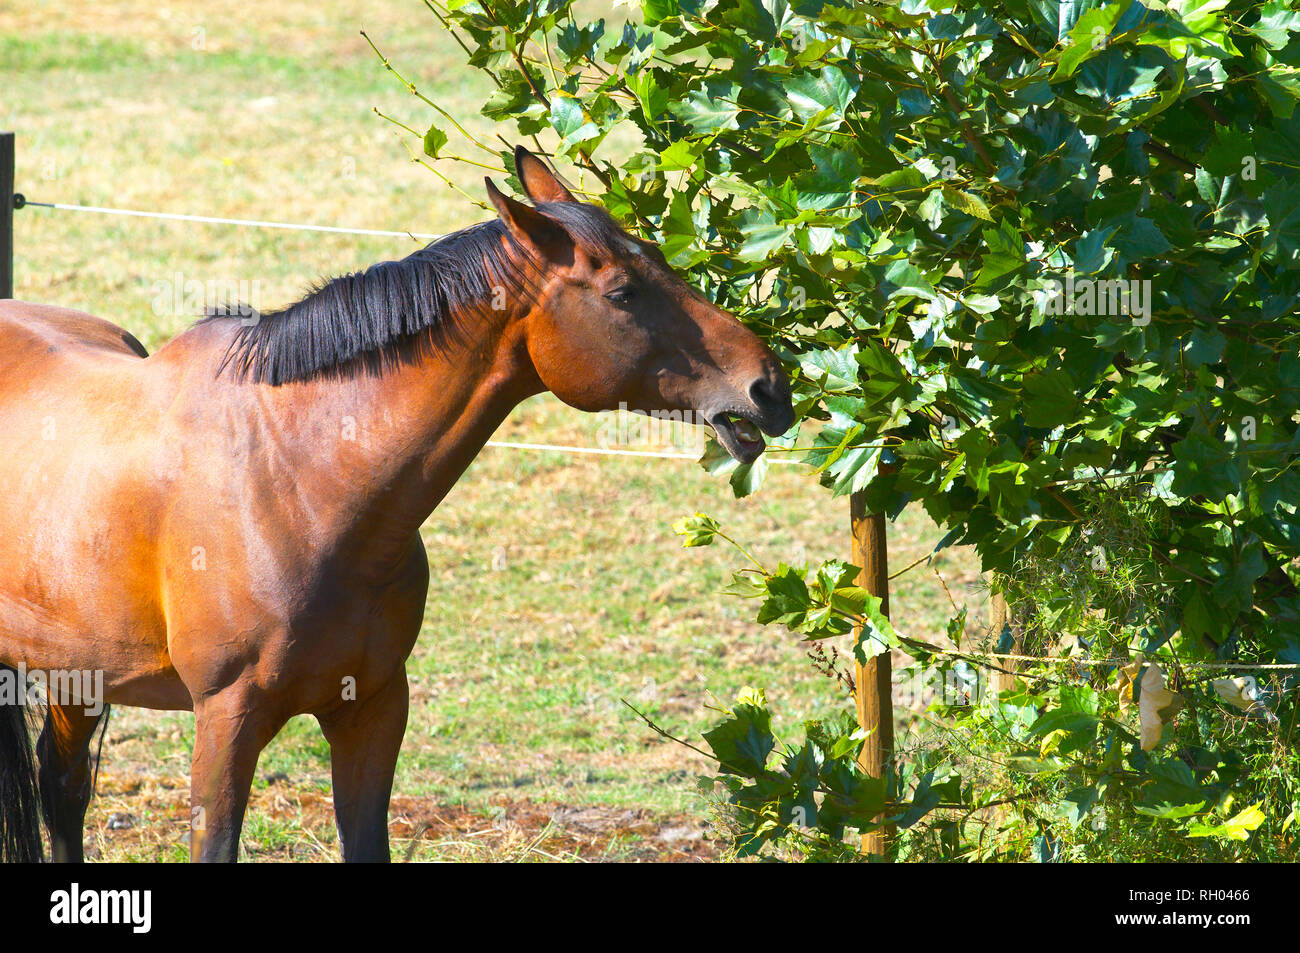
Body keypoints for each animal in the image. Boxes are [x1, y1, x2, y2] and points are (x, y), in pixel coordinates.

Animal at [0, 147, 793, 862]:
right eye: (624, 292)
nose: (770, 386)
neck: (299, 478)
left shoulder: (373, 707)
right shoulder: (227, 717)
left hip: (78, 672)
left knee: (63, 789)